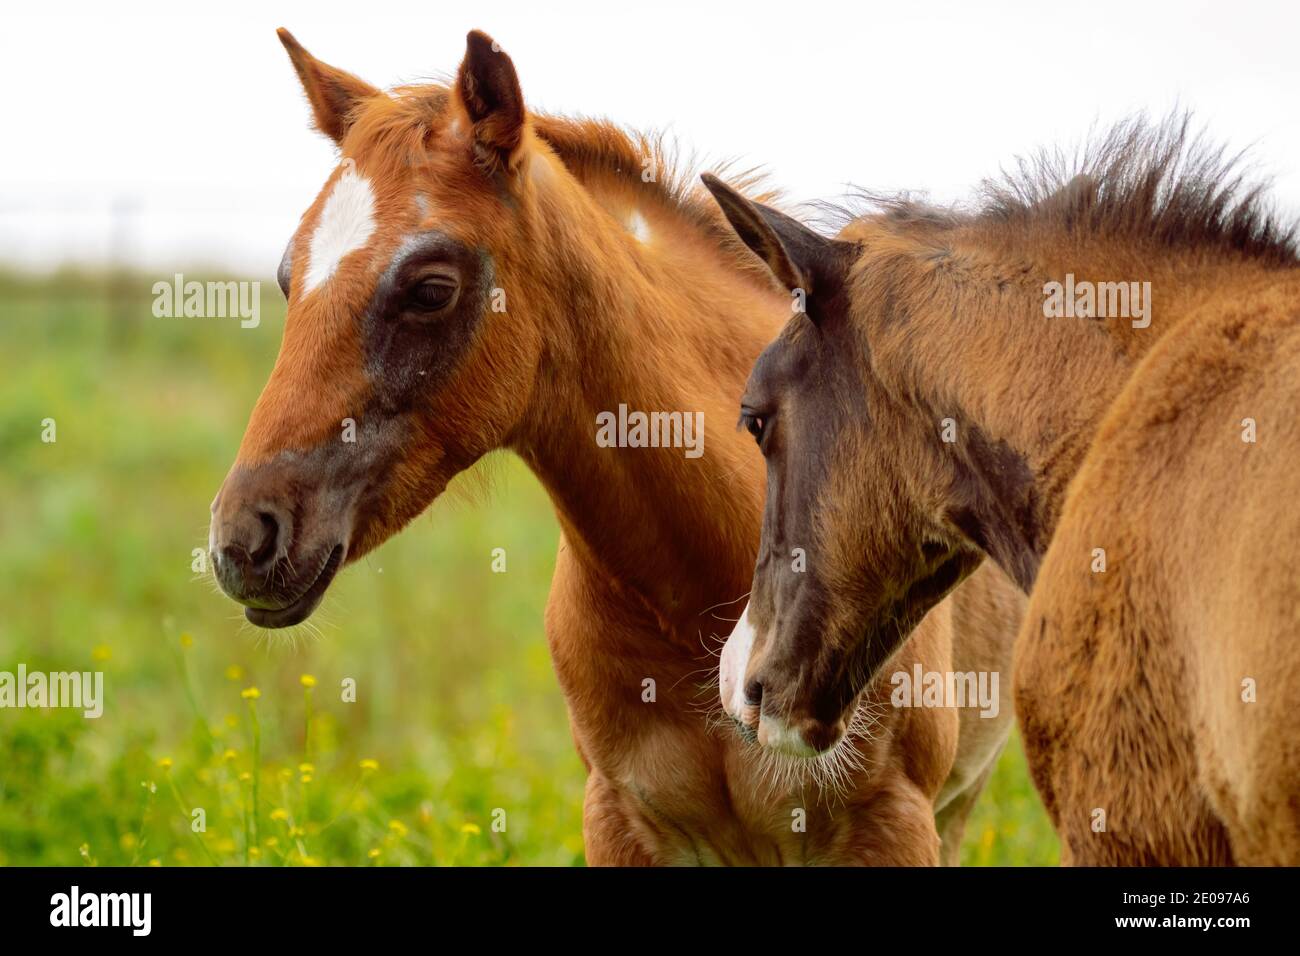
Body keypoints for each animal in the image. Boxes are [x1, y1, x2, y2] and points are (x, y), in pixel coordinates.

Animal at [207, 27, 1022, 864]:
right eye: (286, 276)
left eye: (432, 288)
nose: (245, 539)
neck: (698, 603)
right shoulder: (618, 817)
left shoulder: (892, 819)